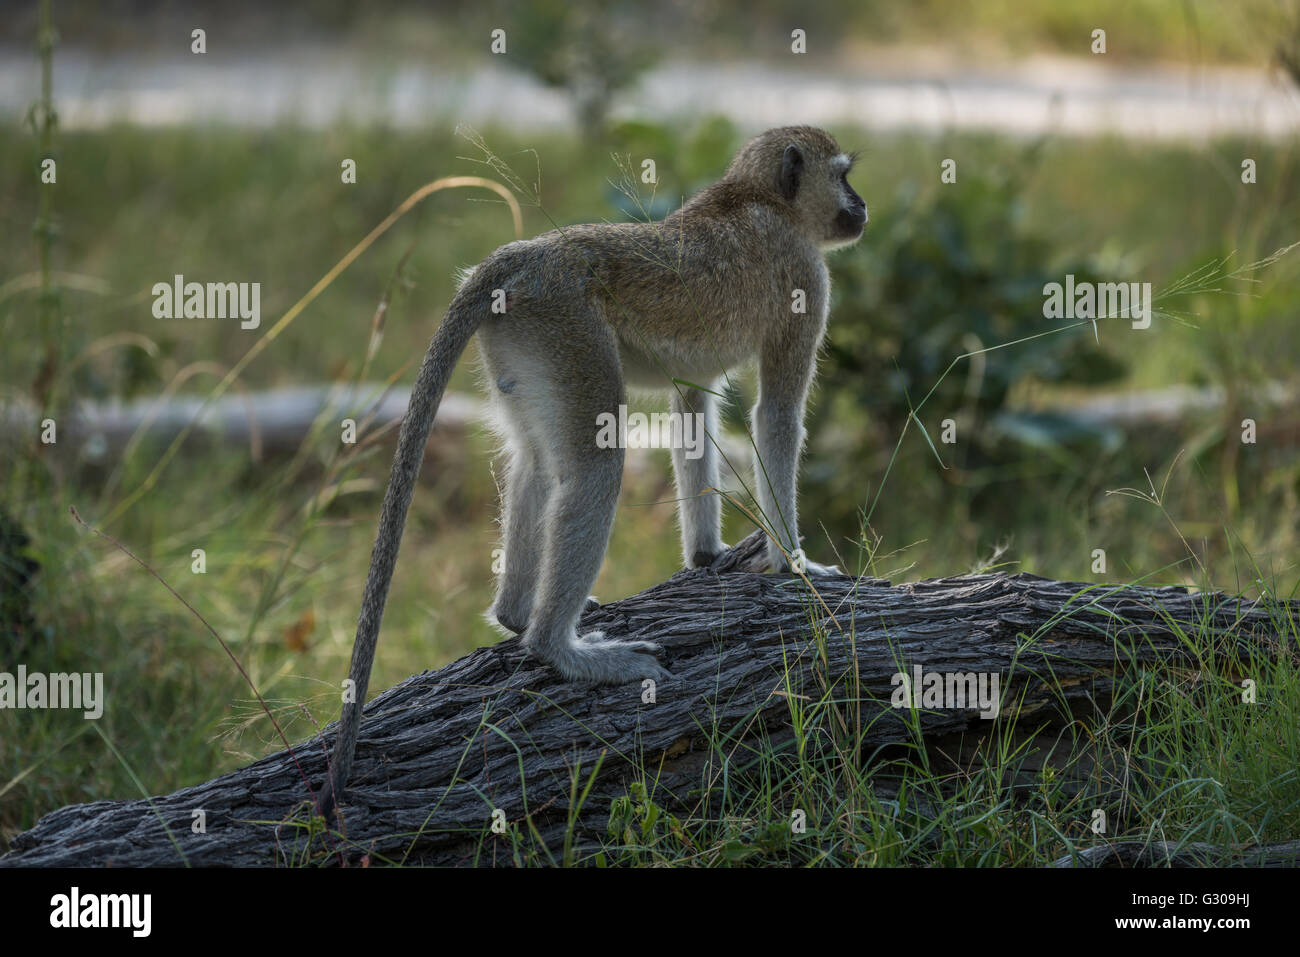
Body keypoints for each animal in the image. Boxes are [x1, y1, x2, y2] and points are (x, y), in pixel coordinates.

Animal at [317, 126, 867, 818]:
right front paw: (796, 564)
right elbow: (777, 417)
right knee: (596, 466)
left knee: (533, 464)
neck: (757, 198)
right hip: (565, 326)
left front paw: (708, 556)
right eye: (843, 175)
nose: (862, 207)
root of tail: (528, 255)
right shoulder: (805, 279)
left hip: (524, 340)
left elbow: (693, 406)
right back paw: (560, 651)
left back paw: (517, 616)